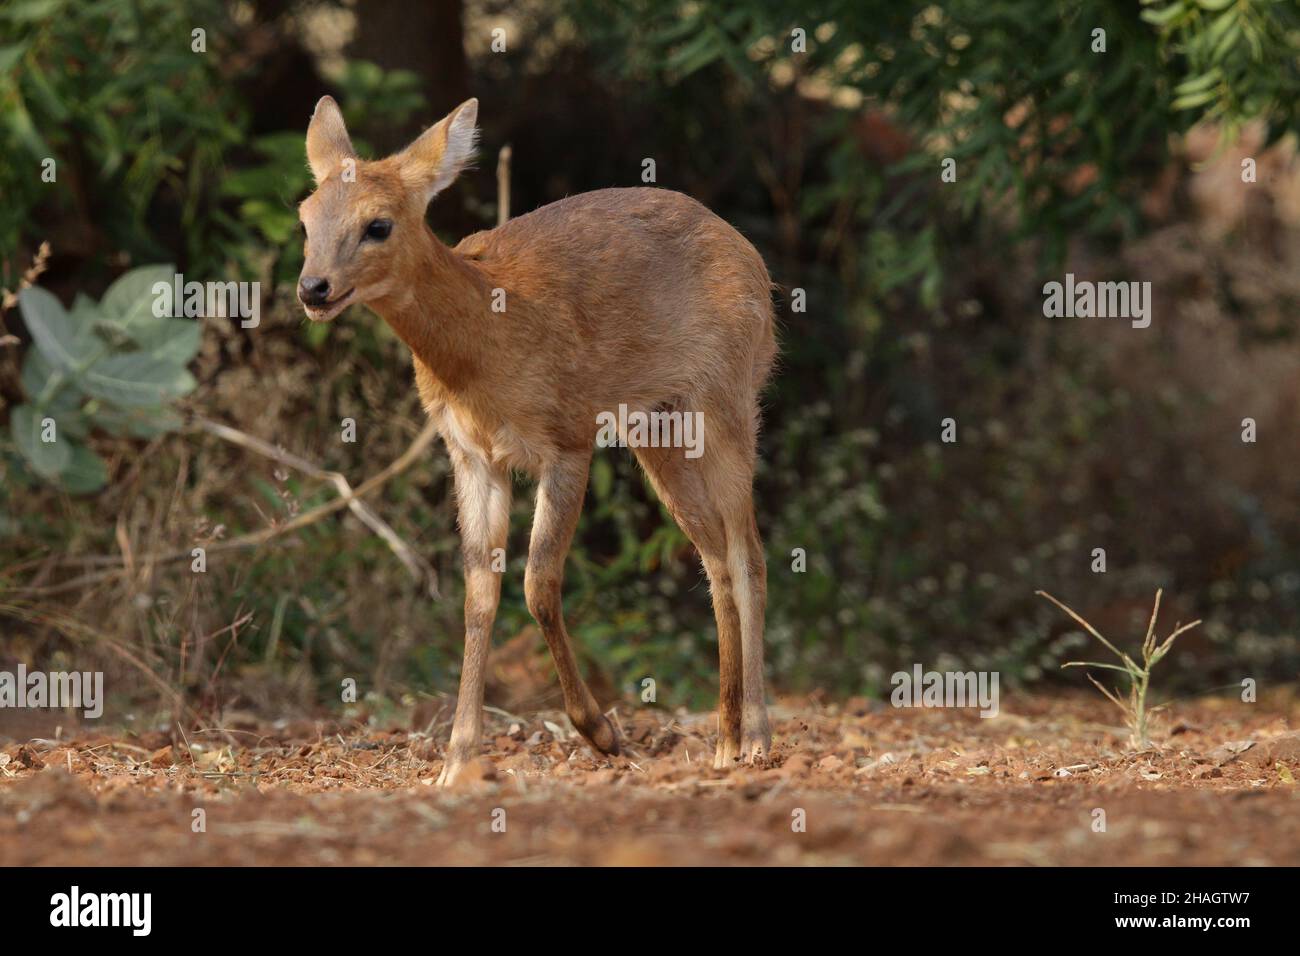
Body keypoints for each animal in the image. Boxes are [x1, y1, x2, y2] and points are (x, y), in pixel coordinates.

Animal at [297, 96, 777, 786]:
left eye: (378, 224)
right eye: (305, 217)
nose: (313, 289)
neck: (487, 343)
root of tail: (751, 255)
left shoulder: (568, 438)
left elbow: (538, 584)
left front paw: (602, 732)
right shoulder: (471, 454)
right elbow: (479, 595)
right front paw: (457, 761)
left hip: (730, 396)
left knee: (747, 551)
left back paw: (759, 738)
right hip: (656, 429)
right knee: (712, 553)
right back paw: (724, 741)